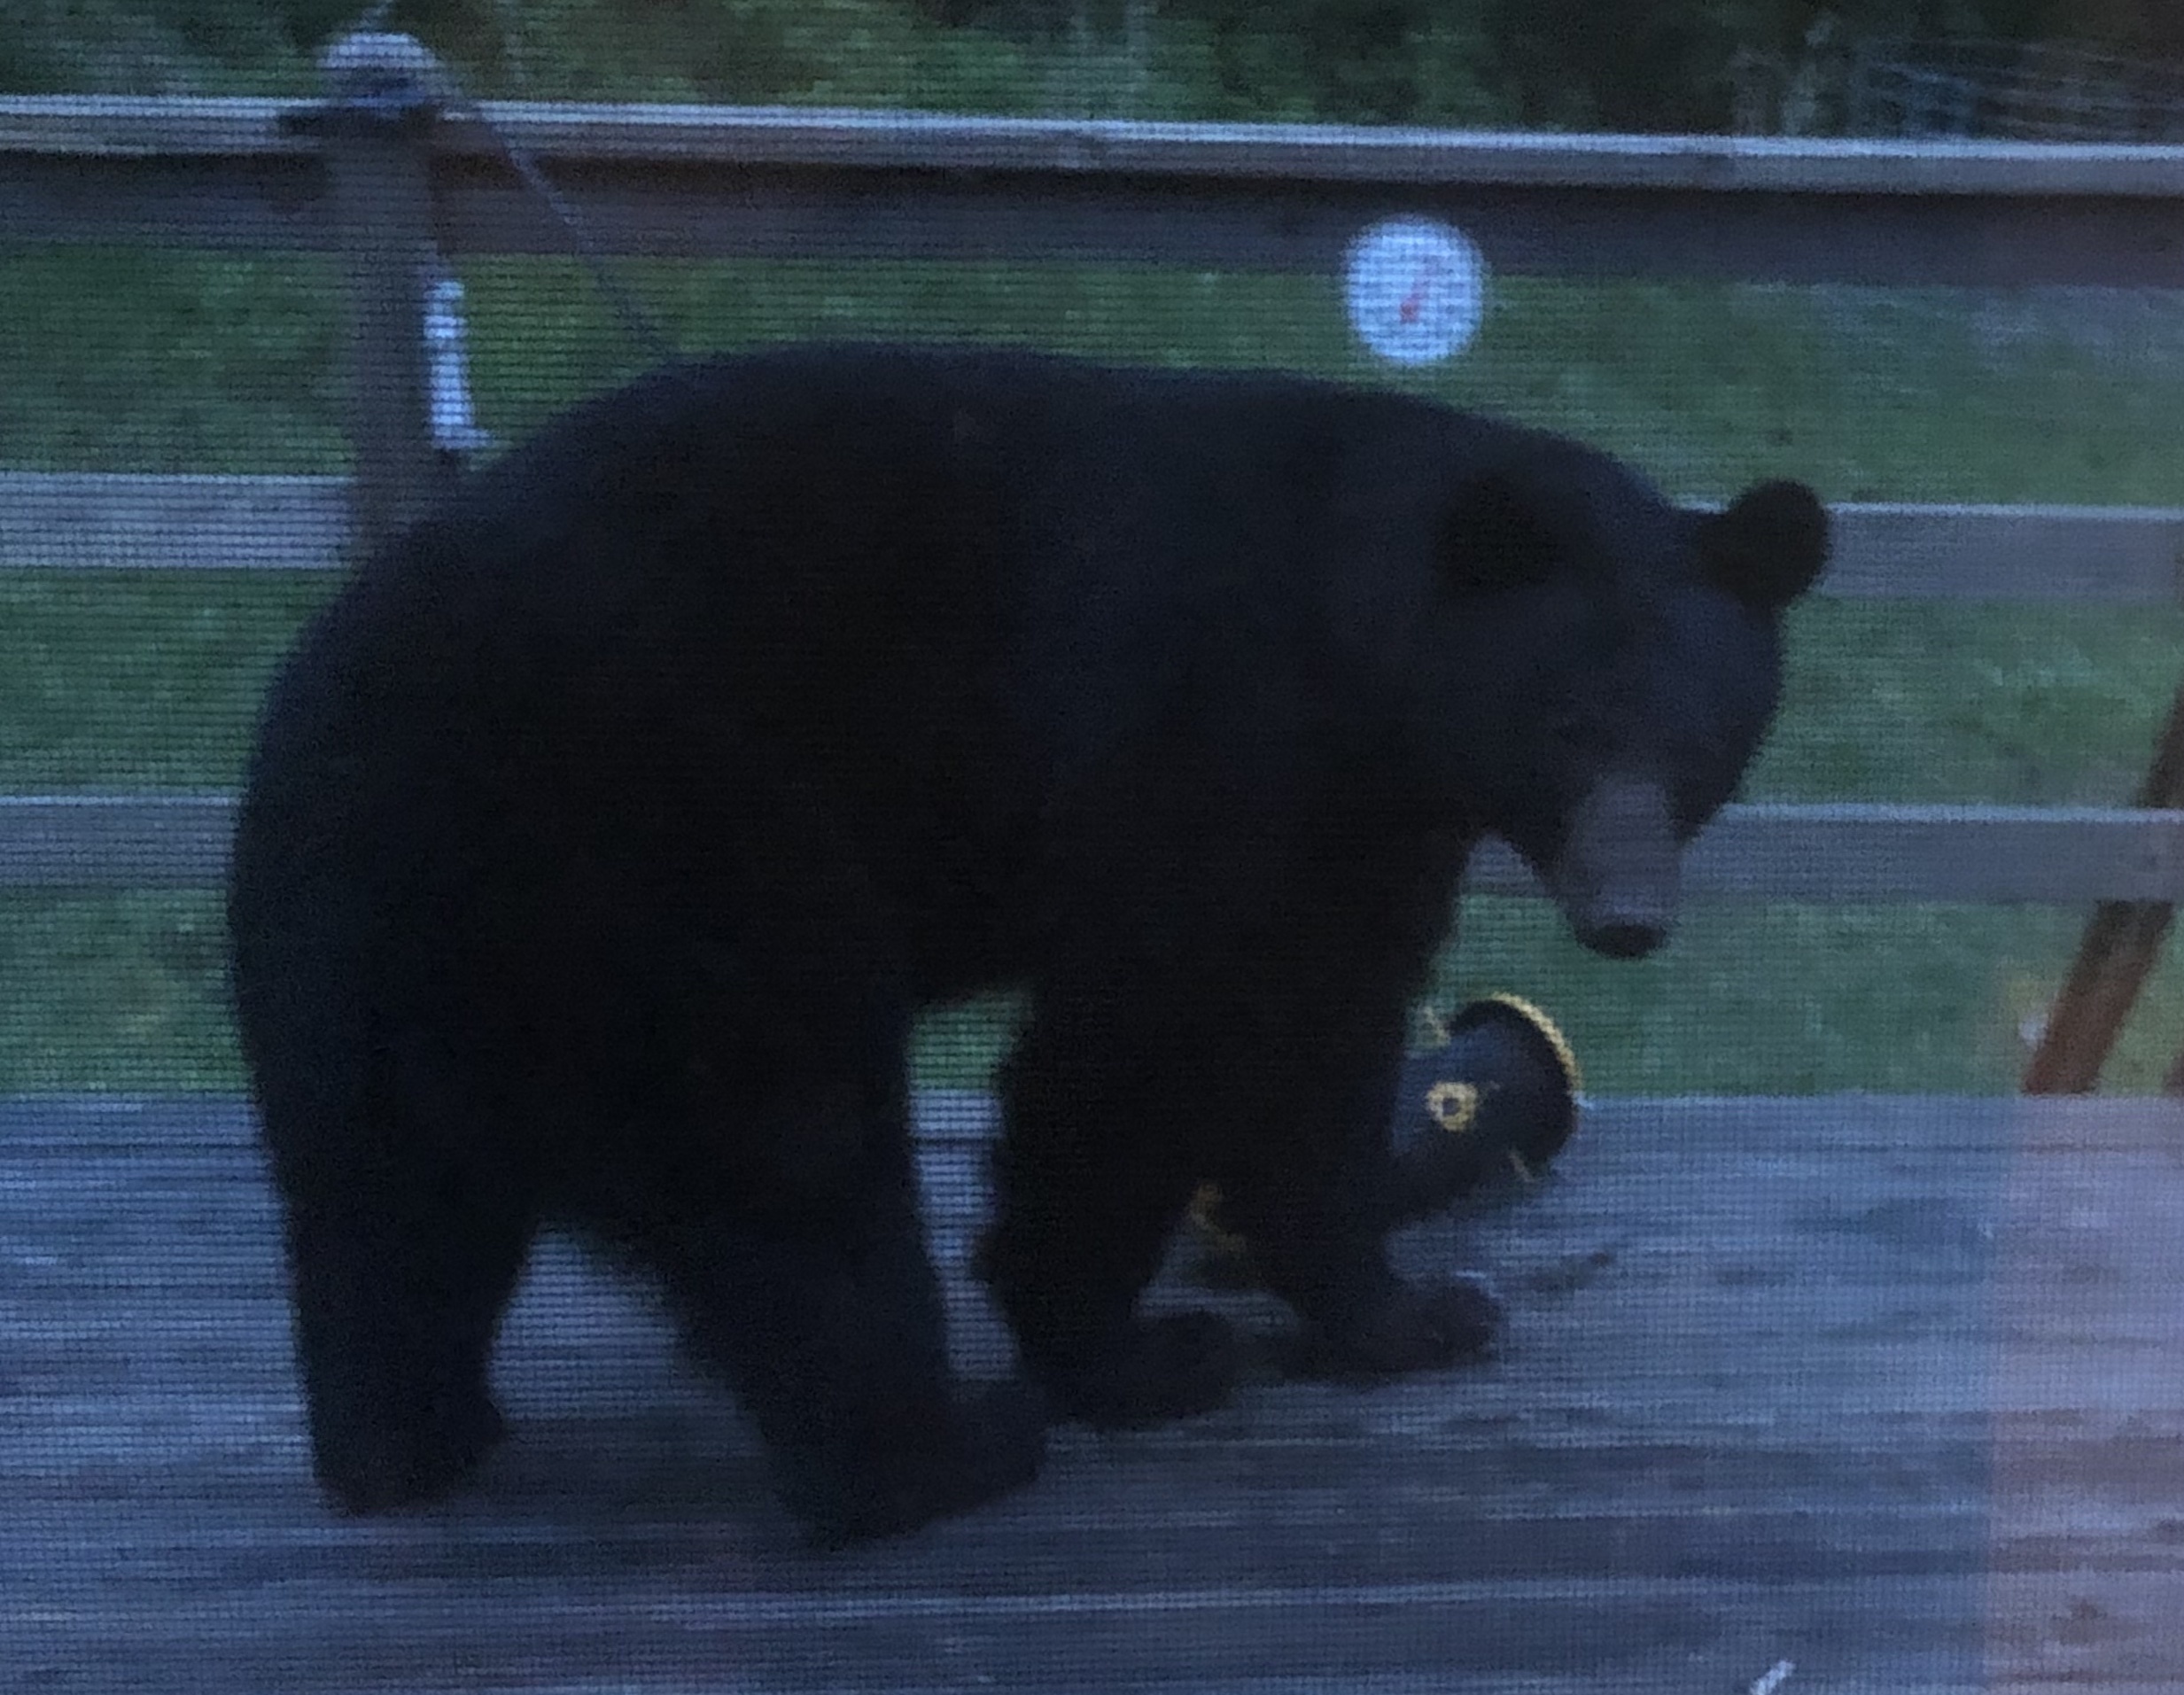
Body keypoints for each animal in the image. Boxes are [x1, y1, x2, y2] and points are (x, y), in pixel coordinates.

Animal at [226, 341, 1828, 1546]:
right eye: (1564, 731)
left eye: (1695, 742)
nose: (1628, 918)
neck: (1359, 648)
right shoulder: (1204, 734)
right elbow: (1145, 1031)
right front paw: (1130, 1351)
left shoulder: (1364, 825)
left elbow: (1323, 1031)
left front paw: (1407, 1311)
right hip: (659, 860)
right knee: (795, 1157)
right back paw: (939, 1450)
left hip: (363, 975)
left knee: (387, 1215)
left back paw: (409, 1437)